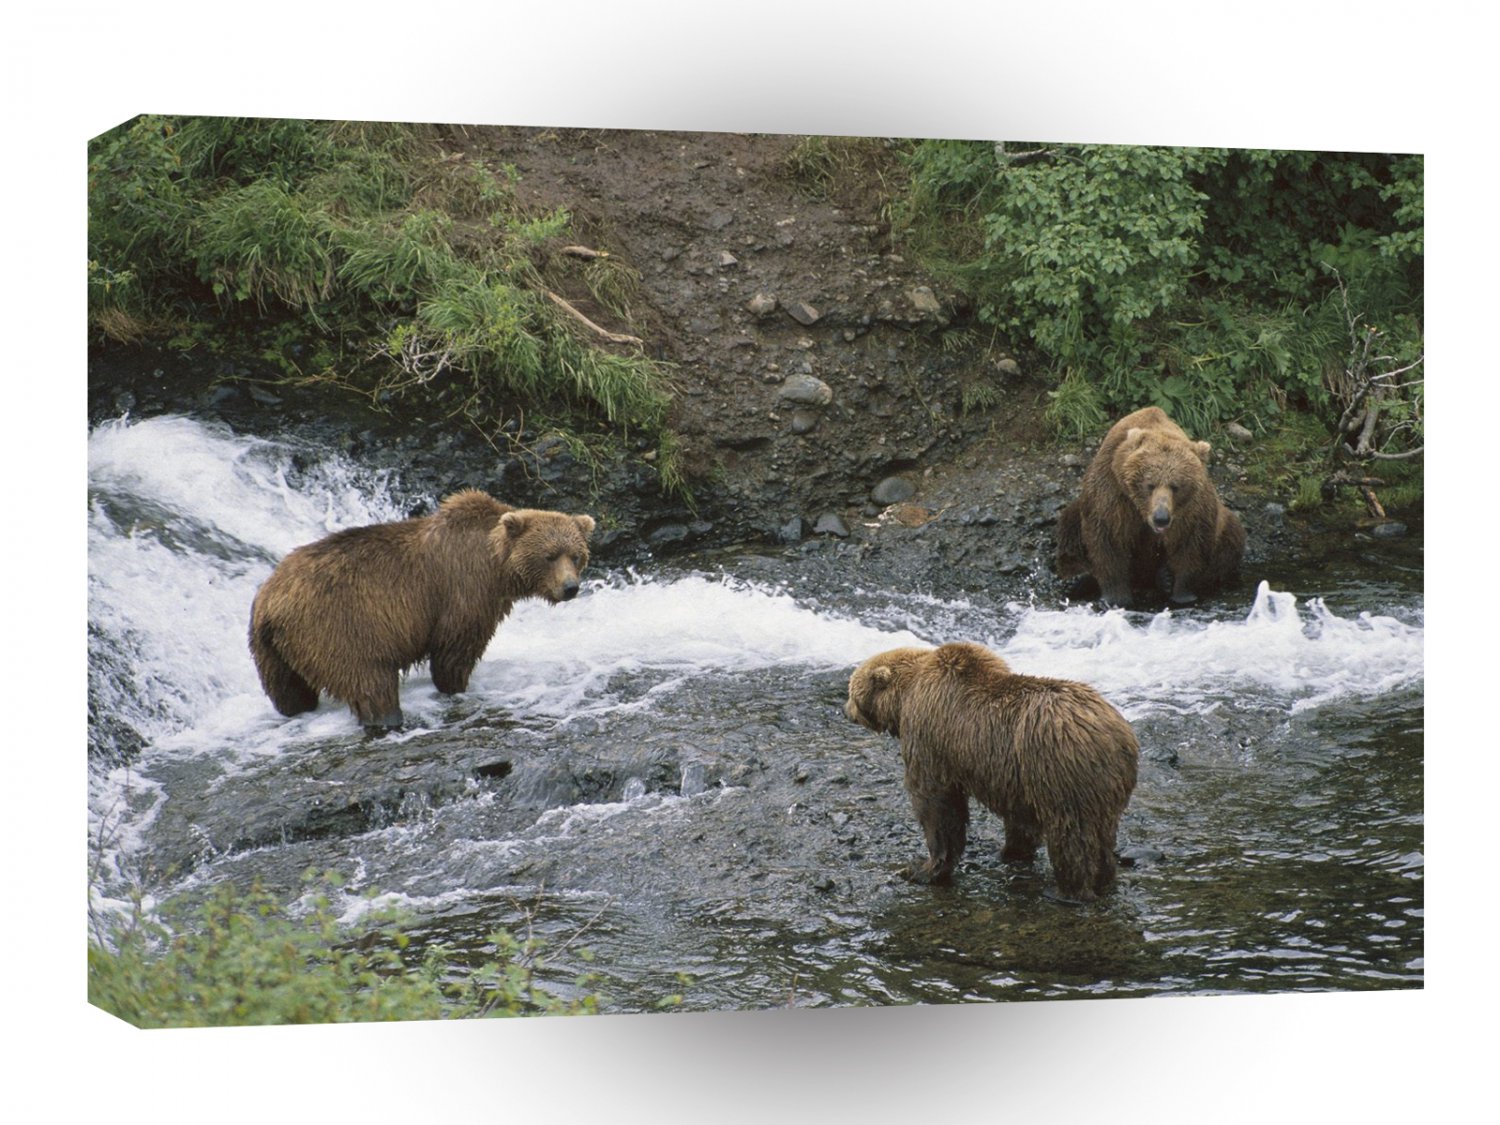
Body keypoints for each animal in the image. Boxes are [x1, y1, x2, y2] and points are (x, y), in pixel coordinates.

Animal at [249, 489, 595, 732]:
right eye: (550, 555)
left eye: (576, 555)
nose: (570, 588)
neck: (497, 566)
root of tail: (271, 601)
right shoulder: (464, 589)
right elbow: (454, 649)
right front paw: (455, 687)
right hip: (337, 627)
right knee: (369, 681)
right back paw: (387, 718)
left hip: (271, 650)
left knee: (289, 691)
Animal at [845, 642, 1139, 902]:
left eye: (851, 691)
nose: (846, 711)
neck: (906, 696)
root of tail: (1115, 735)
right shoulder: (1015, 775)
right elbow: (1020, 817)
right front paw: (1012, 850)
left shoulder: (930, 736)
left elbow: (937, 803)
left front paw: (923, 868)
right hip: (1103, 785)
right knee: (1103, 833)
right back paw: (1104, 879)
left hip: (1059, 770)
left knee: (1071, 835)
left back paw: (1068, 891)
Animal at [1056, 405, 1244, 607]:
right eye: (1150, 484)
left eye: (1175, 486)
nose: (1161, 518)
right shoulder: (1113, 493)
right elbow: (1109, 538)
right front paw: (1116, 597)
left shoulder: (1191, 509)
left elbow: (1191, 542)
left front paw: (1182, 593)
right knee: (1070, 524)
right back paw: (1078, 575)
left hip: (1225, 525)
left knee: (1230, 543)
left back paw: (1164, 578)